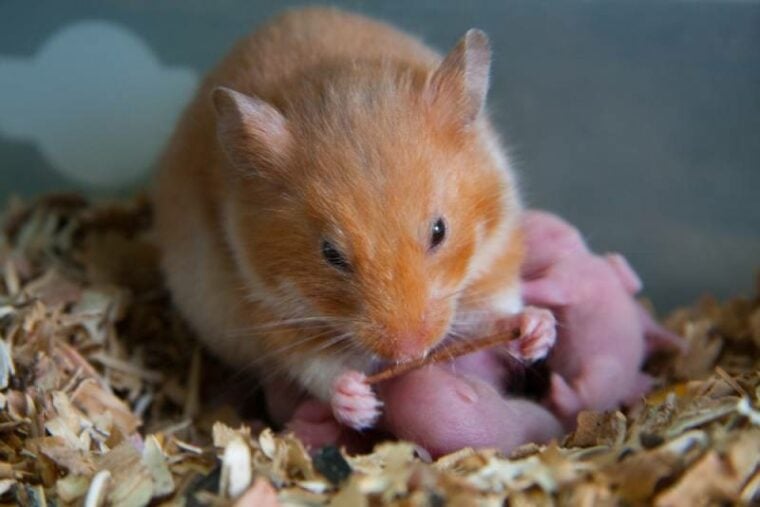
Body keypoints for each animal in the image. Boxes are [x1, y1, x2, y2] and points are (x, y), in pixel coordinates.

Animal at [154, 7, 556, 430]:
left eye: (439, 231)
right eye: (331, 254)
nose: (410, 354)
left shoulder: (497, 249)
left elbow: (495, 311)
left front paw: (536, 330)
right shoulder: (270, 309)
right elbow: (317, 365)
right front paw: (360, 403)